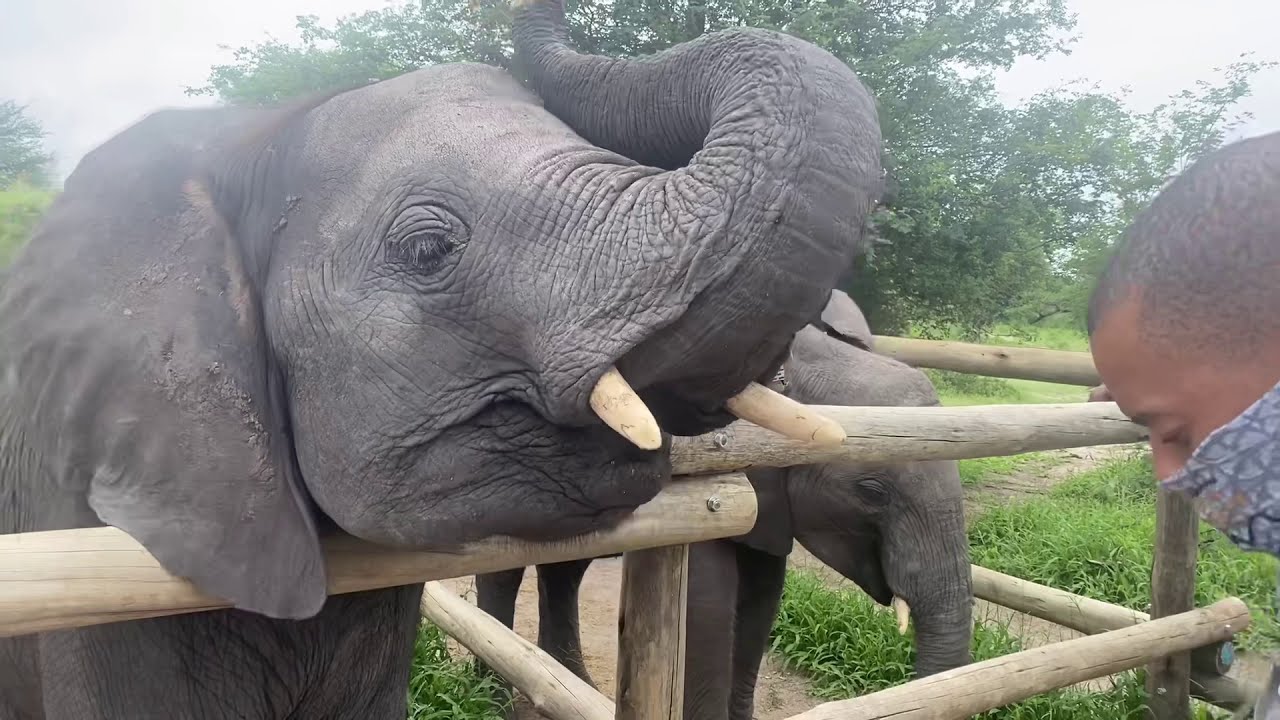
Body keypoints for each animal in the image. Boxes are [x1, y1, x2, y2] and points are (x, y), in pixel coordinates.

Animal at [474, 290, 974, 720]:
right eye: (871, 492)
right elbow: (708, 607)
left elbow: (759, 603)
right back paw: (493, 702)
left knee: (565, 569)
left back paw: (575, 684)